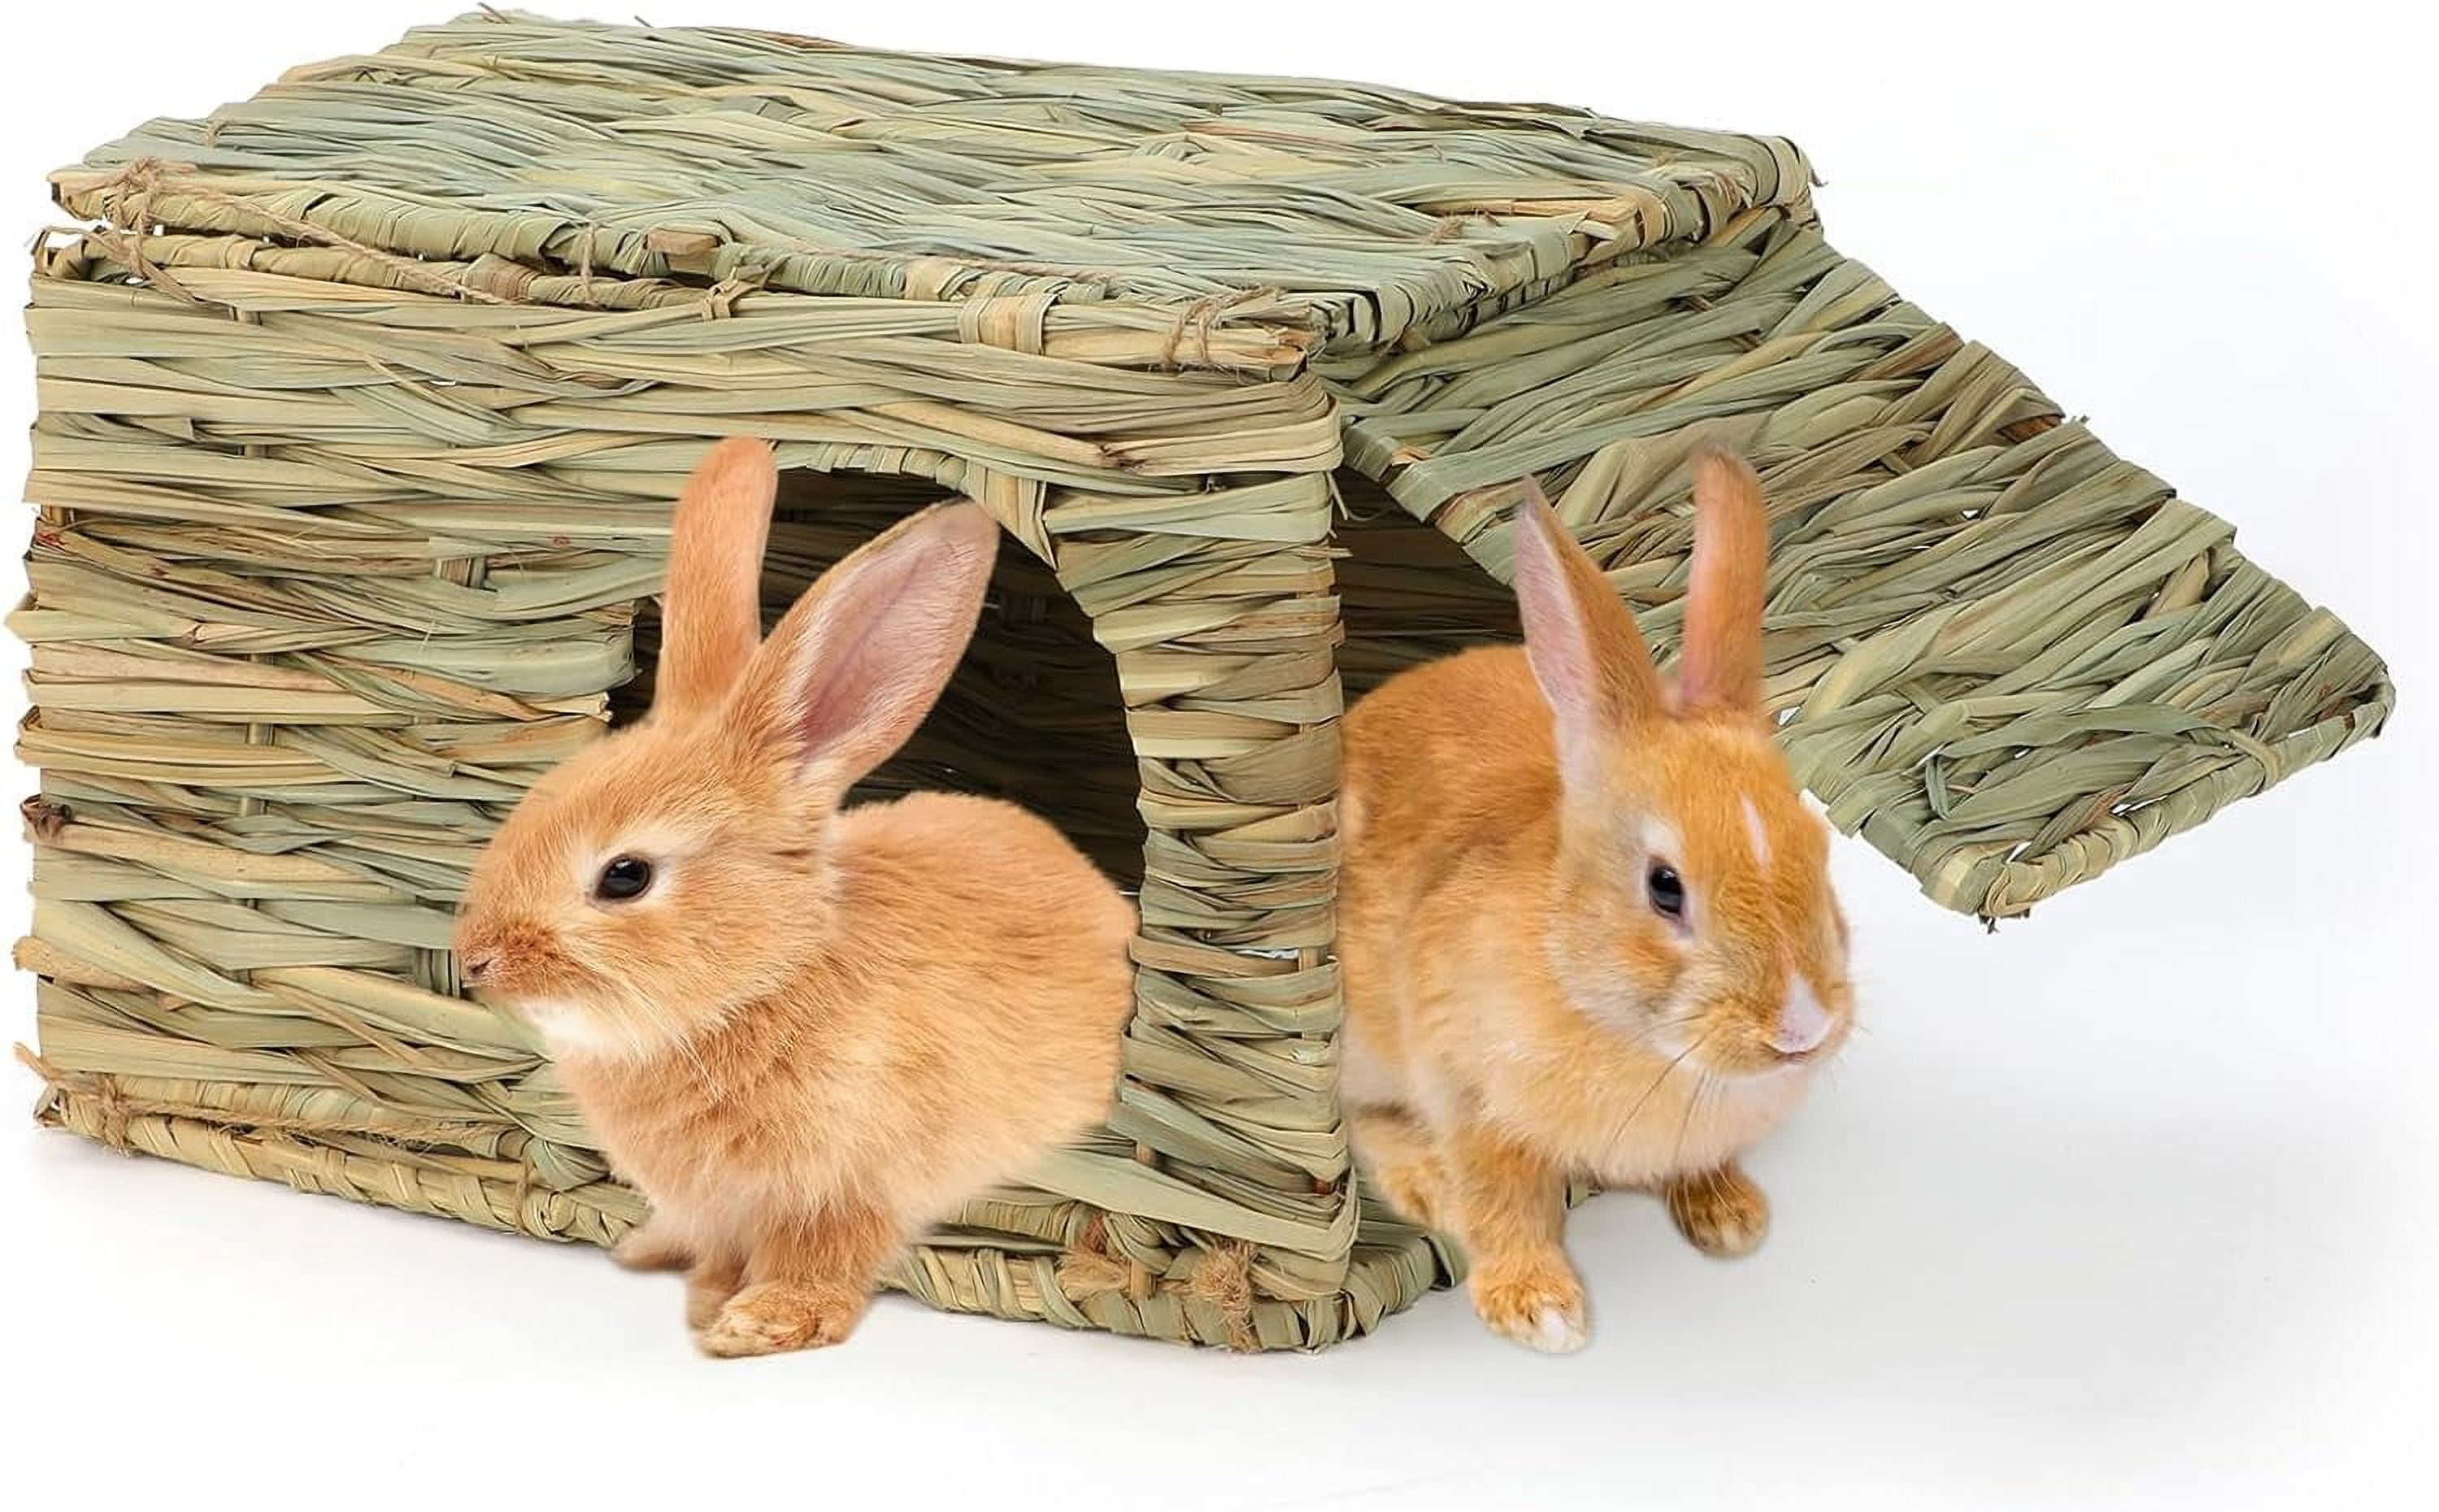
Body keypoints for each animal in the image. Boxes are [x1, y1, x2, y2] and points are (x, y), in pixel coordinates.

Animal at [452, 438, 1136, 1357]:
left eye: (626, 876)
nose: (474, 961)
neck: (766, 976)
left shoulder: (847, 1186)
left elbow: (826, 1260)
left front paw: (756, 1324)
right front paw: (683, 1278)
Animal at [1336, 444, 1854, 1354]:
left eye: (1821, 852)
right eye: (1665, 887)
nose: (1799, 1030)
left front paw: (1731, 1218)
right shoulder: (1466, 1090)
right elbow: (1503, 1199)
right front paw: (1539, 1311)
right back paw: (1429, 1187)